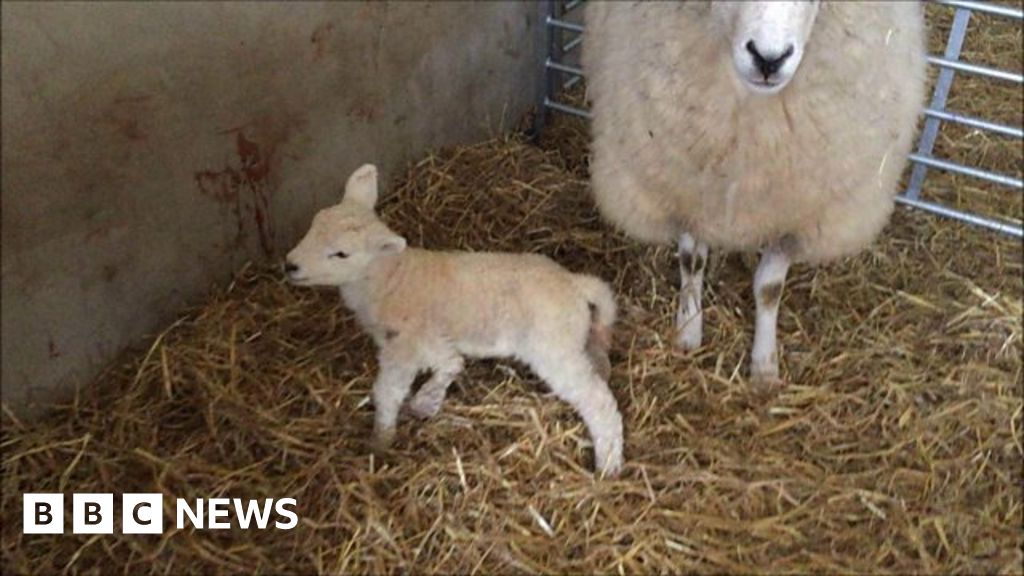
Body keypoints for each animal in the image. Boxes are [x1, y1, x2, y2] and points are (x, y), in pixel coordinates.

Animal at [285, 164, 624, 476]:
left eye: (341, 254)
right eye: (314, 224)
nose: (290, 265)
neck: (388, 278)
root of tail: (575, 283)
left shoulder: (406, 344)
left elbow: (392, 390)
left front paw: (381, 439)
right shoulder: (428, 341)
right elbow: (451, 364)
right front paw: (426, 401)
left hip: (554, 349)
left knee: (598, 401)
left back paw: (608, 465)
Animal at [582, 1, 926, 386]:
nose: (768, 59)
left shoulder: (797, 217)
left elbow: (769, 288)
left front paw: (764, 367)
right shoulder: (687, 191)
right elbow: (692, 263)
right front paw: (688, 331)